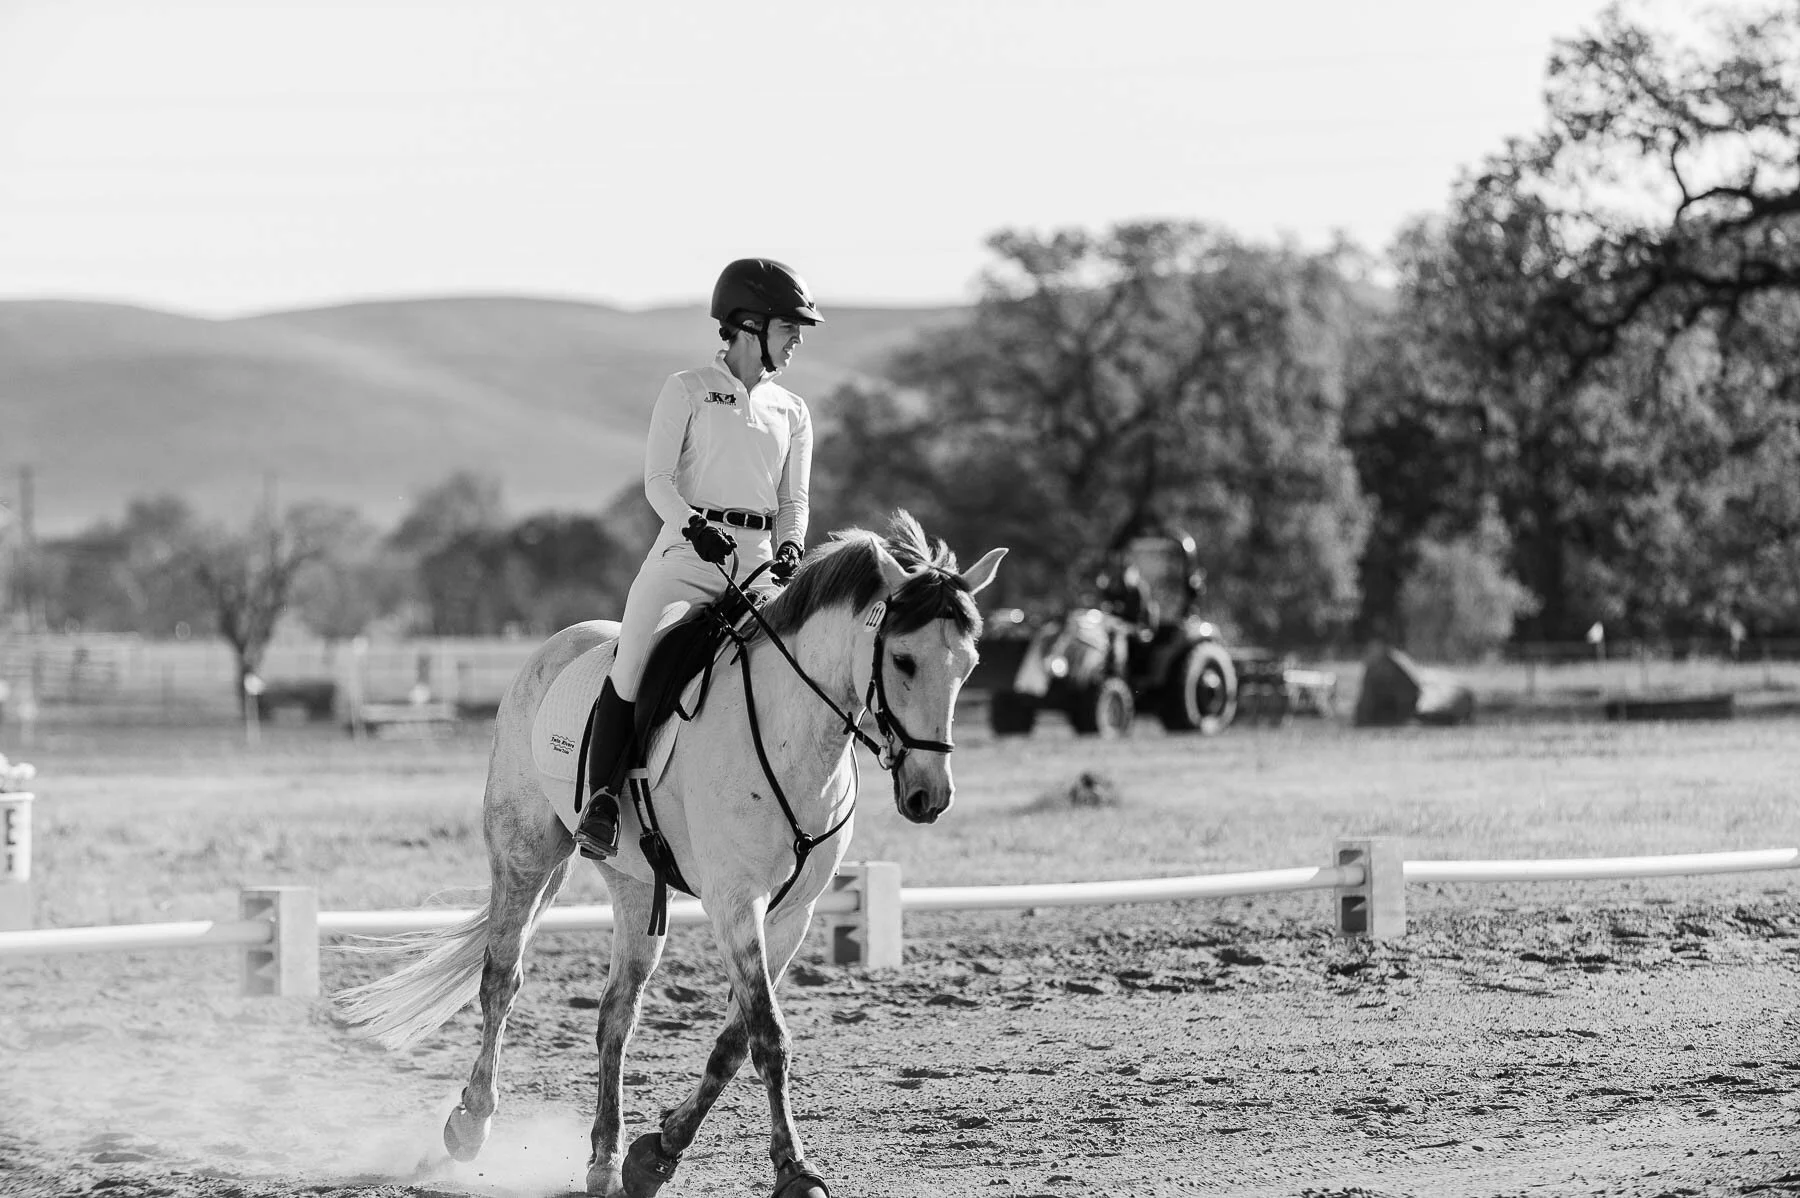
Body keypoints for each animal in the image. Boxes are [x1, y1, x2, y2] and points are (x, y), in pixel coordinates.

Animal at [337, 511, 1006, 1198]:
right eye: (902, 659)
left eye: (969, 665)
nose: (929, 796)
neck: (793, 731)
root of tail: (558, 645)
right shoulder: (735, 902)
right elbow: (768, 1037)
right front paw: (794, 1169)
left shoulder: (792, 915)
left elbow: (735, 1041)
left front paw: (657, 1153)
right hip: (525, 854)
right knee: (502, 978)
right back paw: (471, 1123)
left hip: (634, 885)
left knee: (616, 1012)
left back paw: (605, 1158)